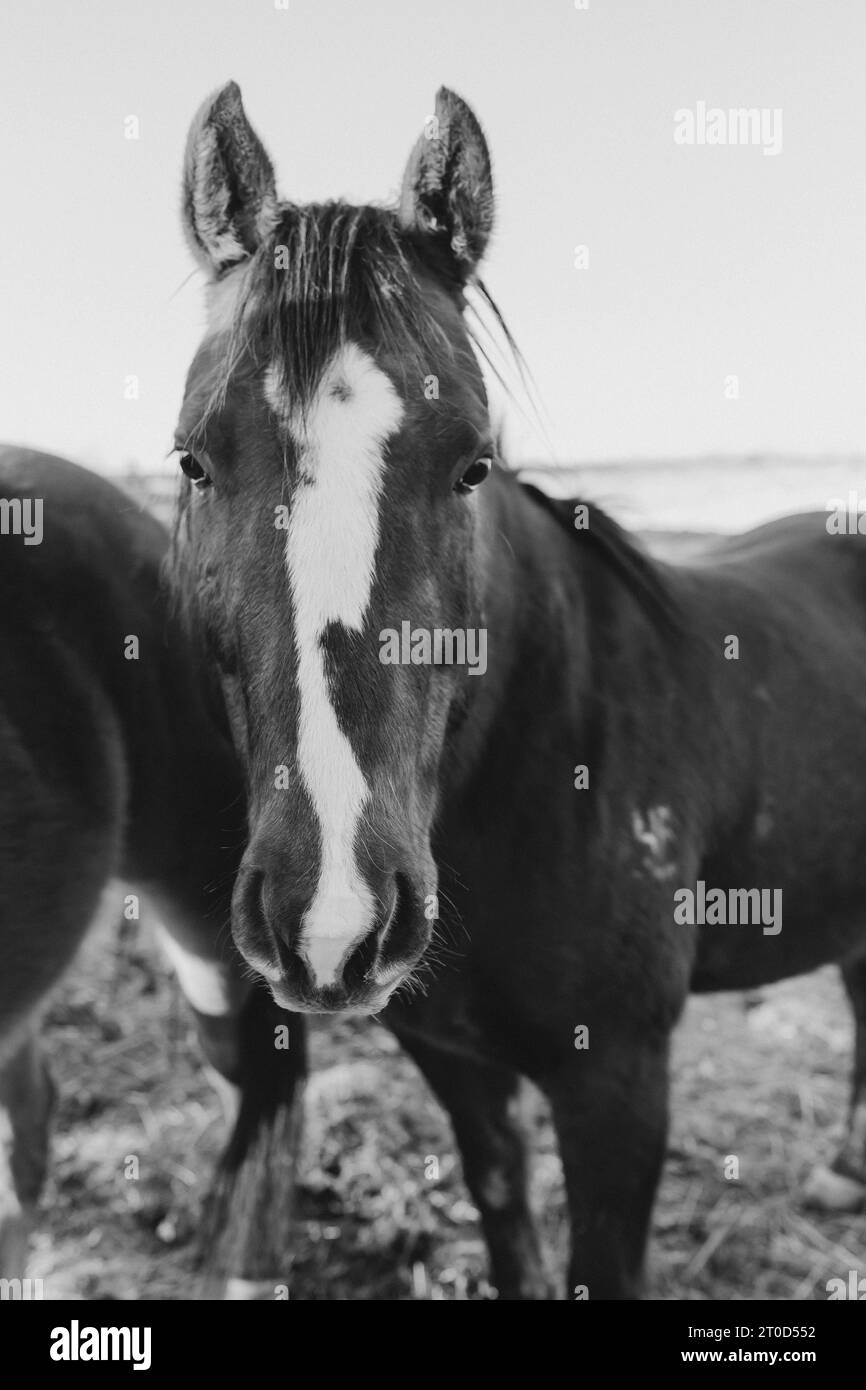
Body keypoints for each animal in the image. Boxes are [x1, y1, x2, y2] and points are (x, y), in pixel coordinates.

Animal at [170, 81, 866, 1295]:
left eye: (472, 464)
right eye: (193, 461)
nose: (330, 915)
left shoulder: (620, 1087)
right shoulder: (451, 1057)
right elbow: (502, 1205)